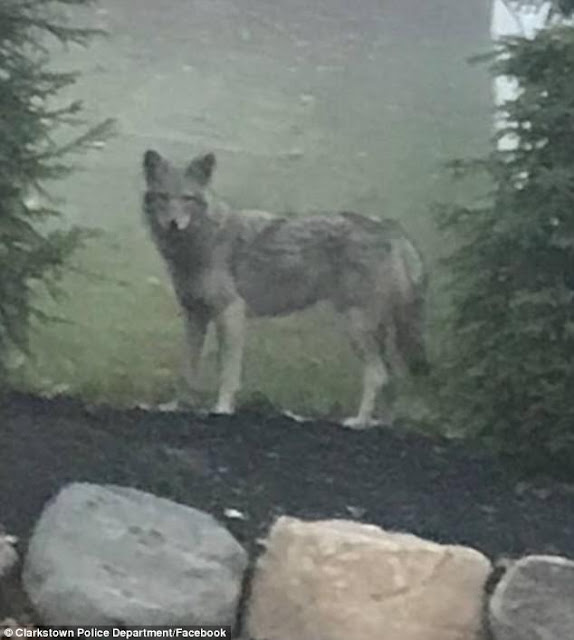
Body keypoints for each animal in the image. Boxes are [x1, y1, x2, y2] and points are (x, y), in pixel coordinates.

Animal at [142, 149, 430, 428]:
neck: (199, 245)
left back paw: (359, 422)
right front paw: (176, 407)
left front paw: (222, 410)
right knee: (392, 377)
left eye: (187, 198)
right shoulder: (194, 317)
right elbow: (187, 371)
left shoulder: (231, 313)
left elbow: (228, 374)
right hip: (374, 331)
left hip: (357, 328)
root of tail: (390, 227)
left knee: (378, 375)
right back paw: (382, 424)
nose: (173, 223)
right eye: (164, 197)